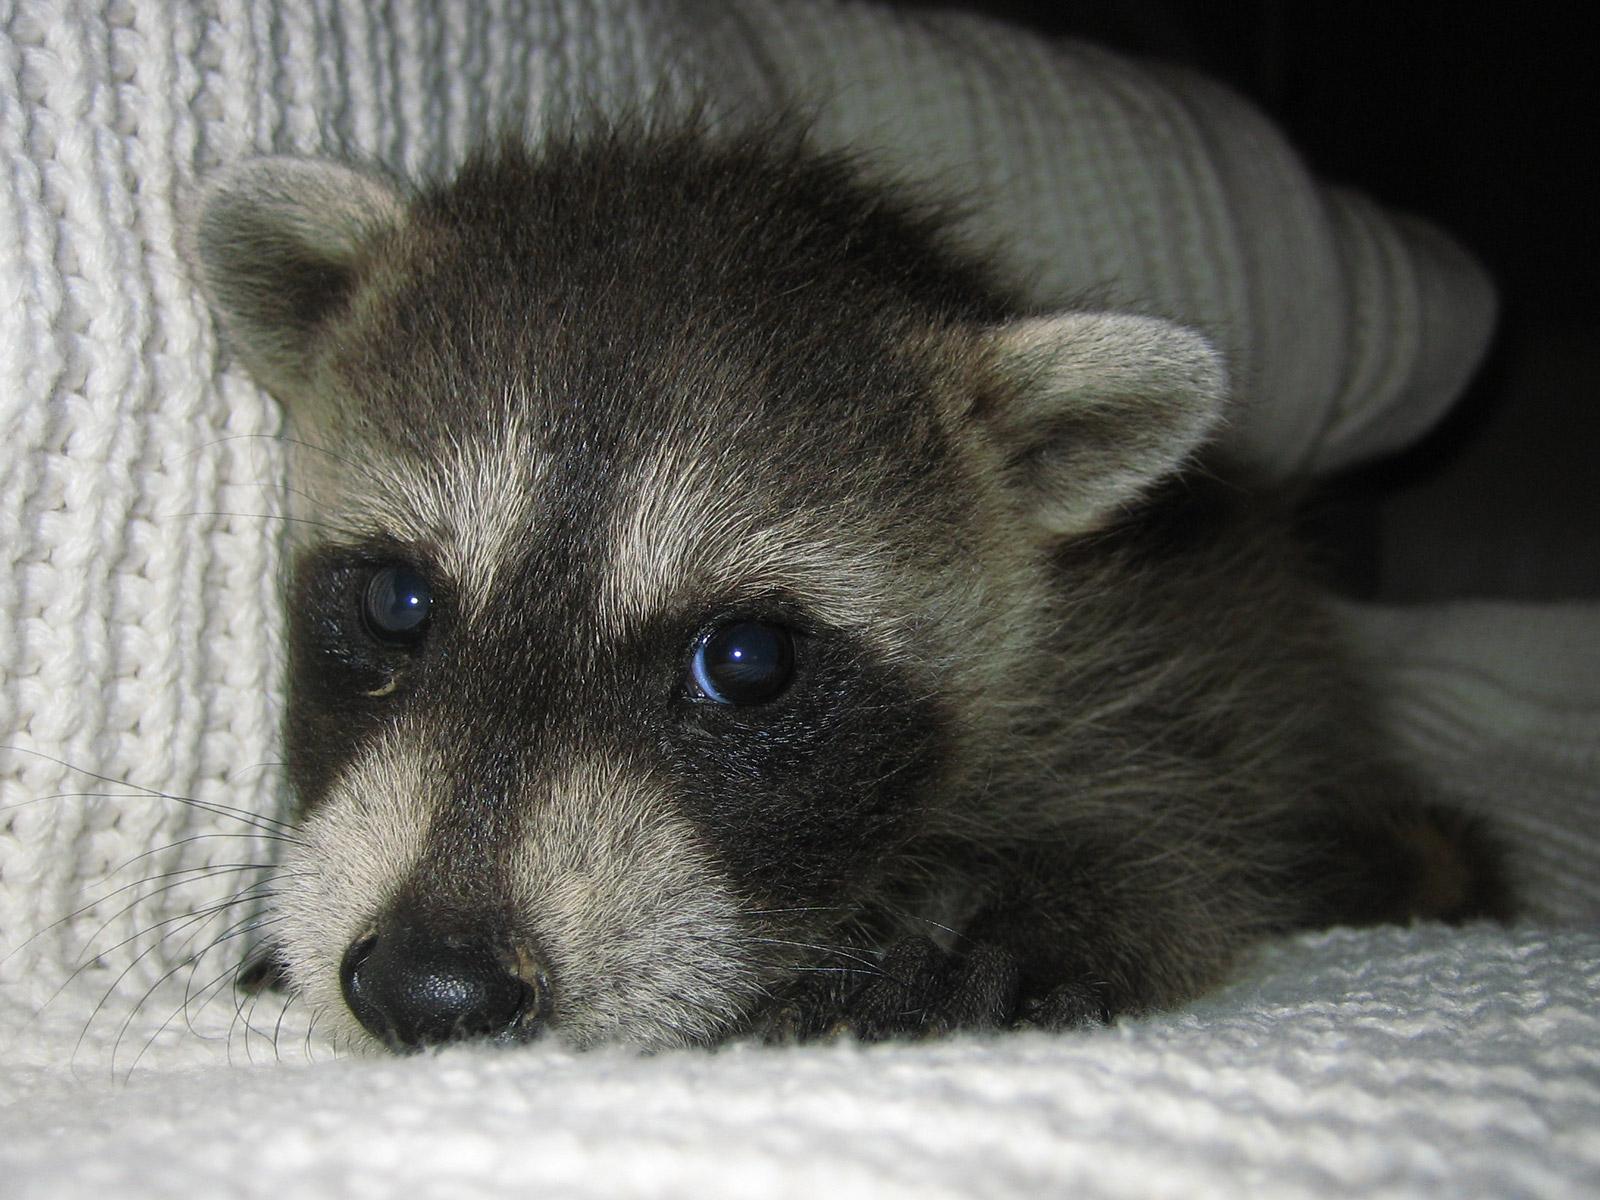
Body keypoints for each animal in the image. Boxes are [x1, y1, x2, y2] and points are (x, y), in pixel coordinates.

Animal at [192, 122, 1505, 1053]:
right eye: (394, 603)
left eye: (746, 661)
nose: (430, 987)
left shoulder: (1155, 657)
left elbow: (1183, 836)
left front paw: (1044, 907)